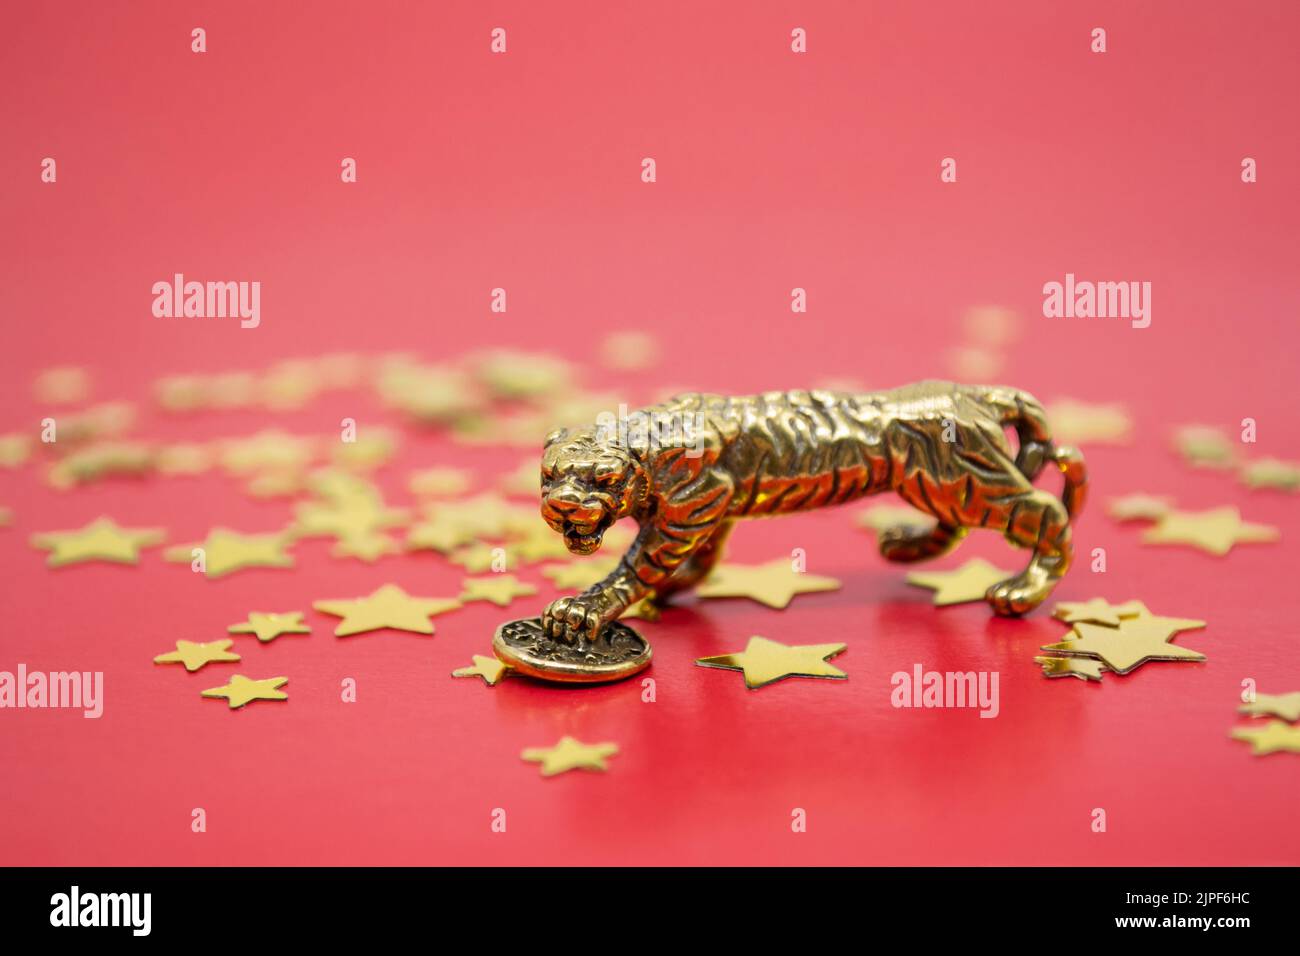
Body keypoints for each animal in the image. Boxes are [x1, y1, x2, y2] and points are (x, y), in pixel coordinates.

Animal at [539, 381, 1087, 644]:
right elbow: (703, 555)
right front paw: (677, 586)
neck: (640, 439)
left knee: (1049, 511)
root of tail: (979, 394)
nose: (563, 504)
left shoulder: (690, 508)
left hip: (967, 484)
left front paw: (583, 608)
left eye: (603, 480)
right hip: (941, 485)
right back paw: (907, 545)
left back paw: (1025, 589)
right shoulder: (713, 507)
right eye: (549, 474)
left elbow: (637, 565)